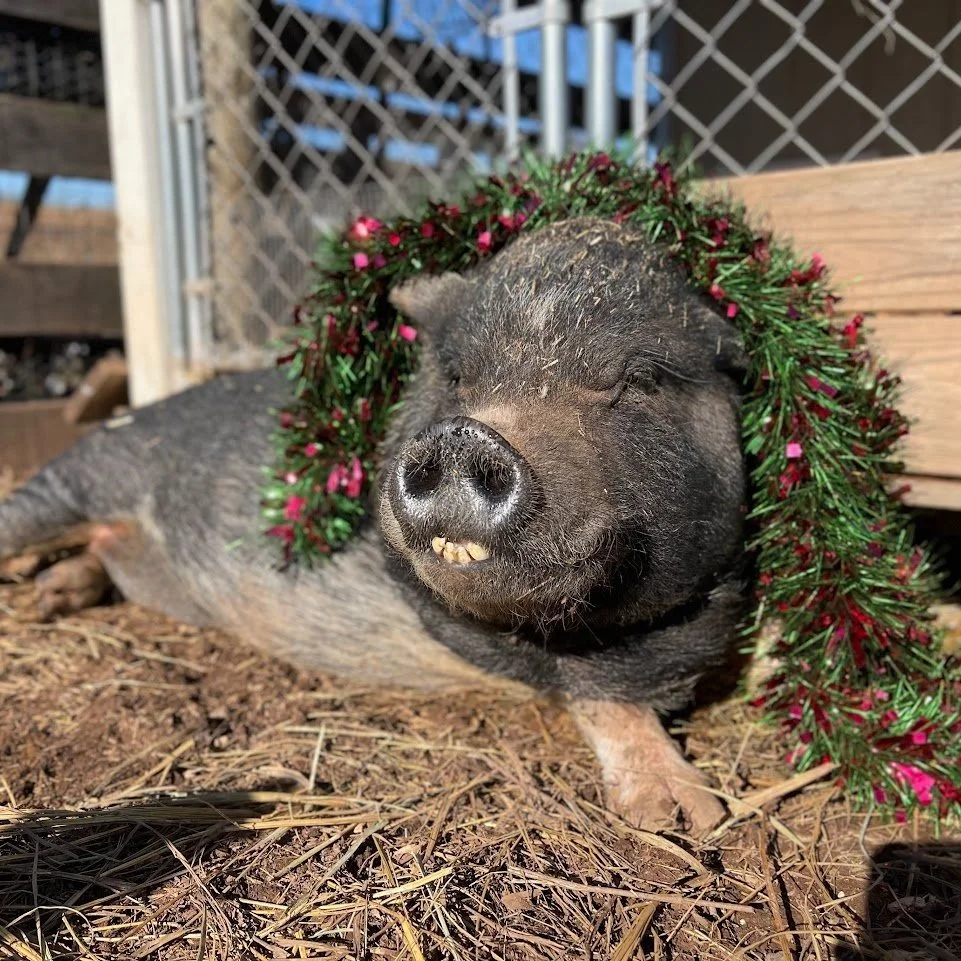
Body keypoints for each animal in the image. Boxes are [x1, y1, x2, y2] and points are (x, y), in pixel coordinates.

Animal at [0, 218, 747, 834]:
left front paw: (698, 816)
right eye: (457, 375)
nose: (464, 437)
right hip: (80, 476)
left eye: (641, 378)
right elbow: (593, 685)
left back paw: (51, 595)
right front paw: (686, 816)